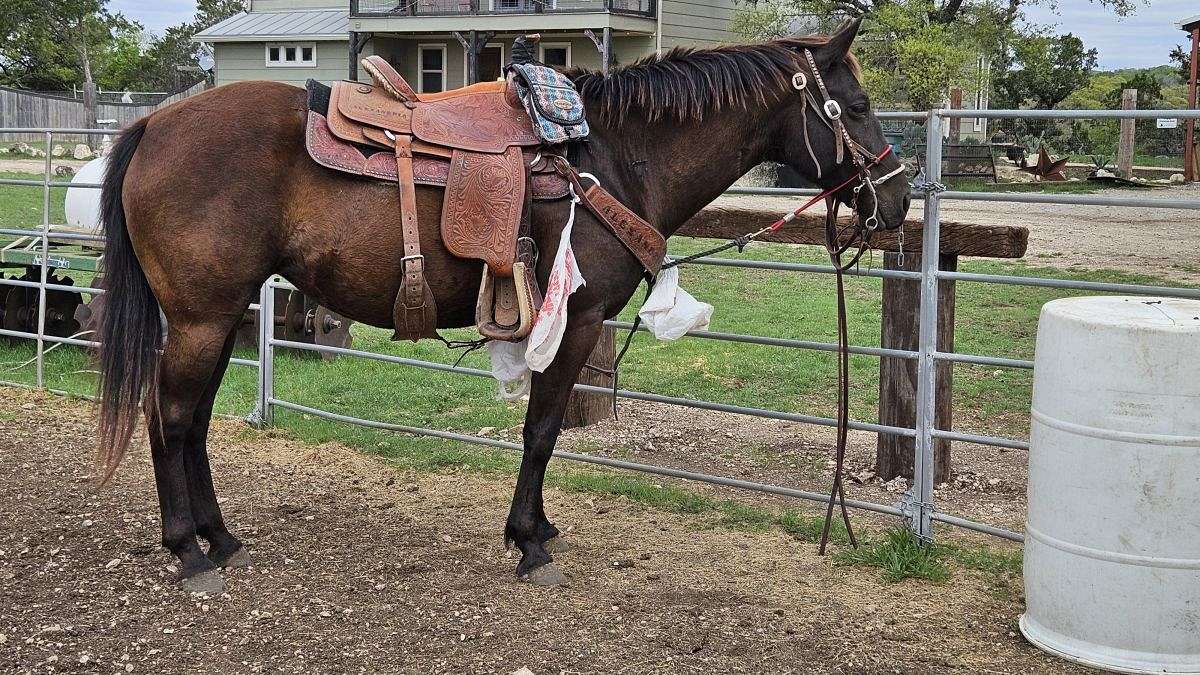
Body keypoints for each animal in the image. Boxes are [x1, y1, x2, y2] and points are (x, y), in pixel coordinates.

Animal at [94, 18, 910, 594]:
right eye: (858, 105)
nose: (897, 201)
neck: (610, 155)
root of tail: (154, 124)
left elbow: (540, 430)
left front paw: (537, 529)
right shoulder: (576, 321)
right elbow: (542, 432)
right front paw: (531, 542)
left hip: (221, 314)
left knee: (194, 421)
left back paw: (219, 537)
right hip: (201, 318)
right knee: (170, 418)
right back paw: (189, 552)